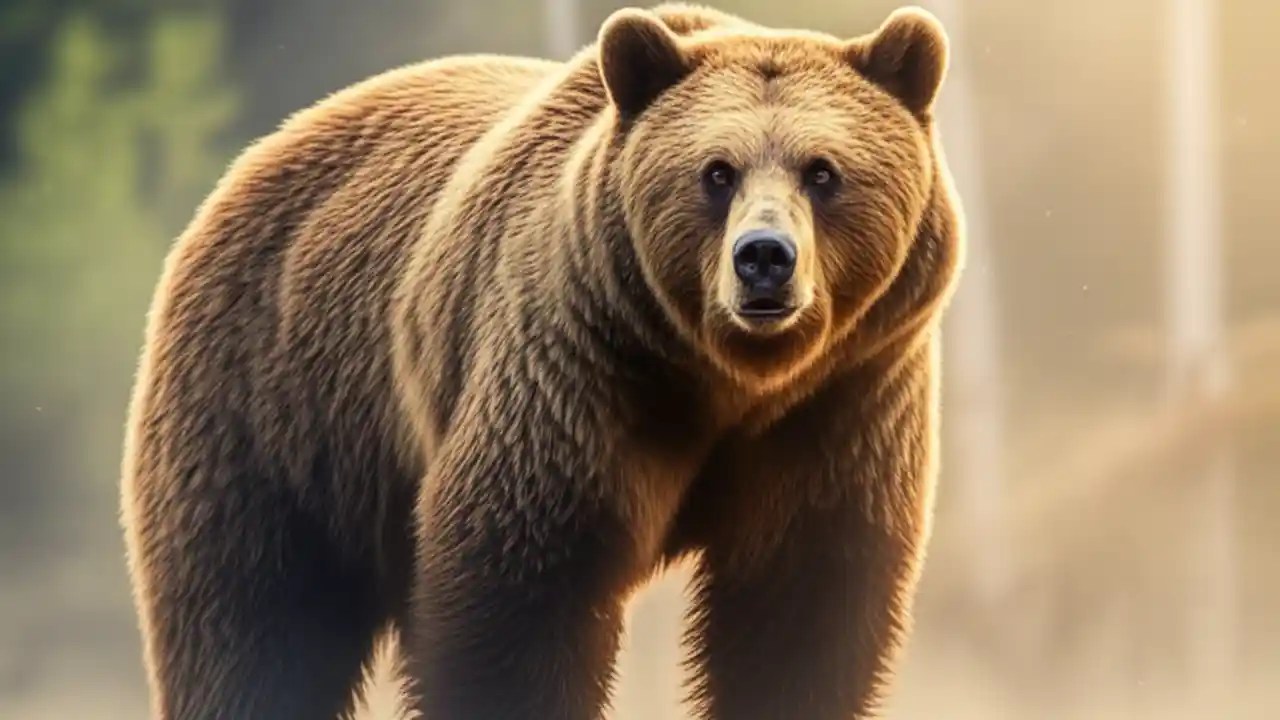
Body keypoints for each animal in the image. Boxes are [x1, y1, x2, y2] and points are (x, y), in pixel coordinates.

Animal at [119, 3, 964, 719]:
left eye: (823, 171)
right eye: (716, 172)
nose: (763, 259)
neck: (725, 380)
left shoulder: (841, 400)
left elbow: (802, 607)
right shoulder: (575, 370)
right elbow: (519, 584)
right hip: (276, 410)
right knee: (251, 616)